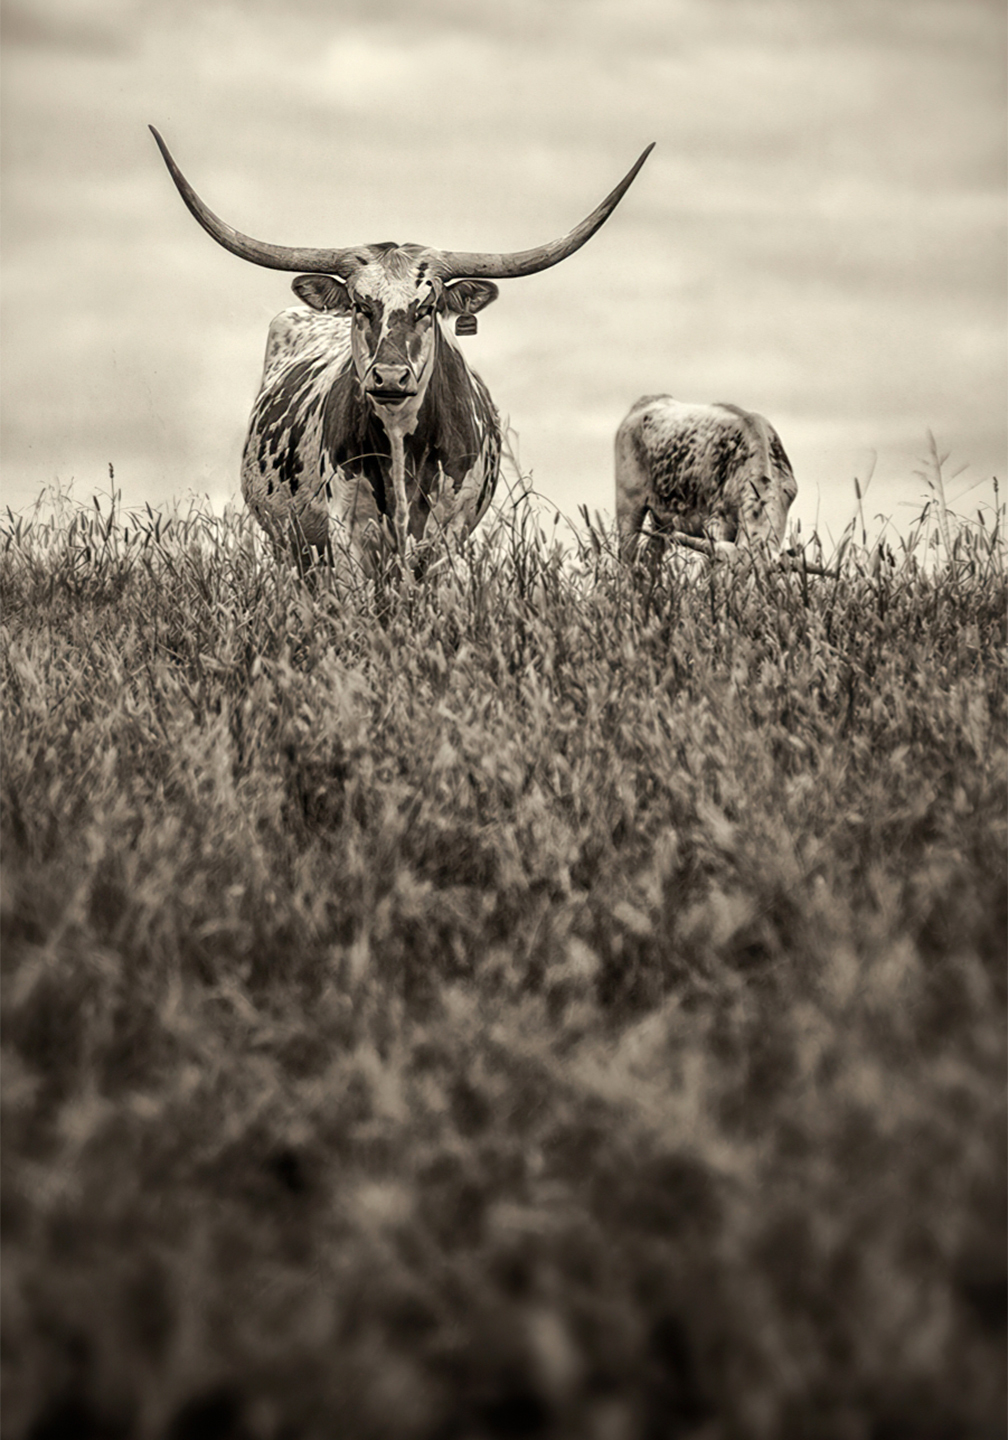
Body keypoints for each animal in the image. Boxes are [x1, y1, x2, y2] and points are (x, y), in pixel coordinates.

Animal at [150, 127, 654, 575]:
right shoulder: (346, 531)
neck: (399, 442)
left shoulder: (447, 532)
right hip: (294, 546)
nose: (390, 377)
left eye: (427, 306)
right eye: (359, 304)